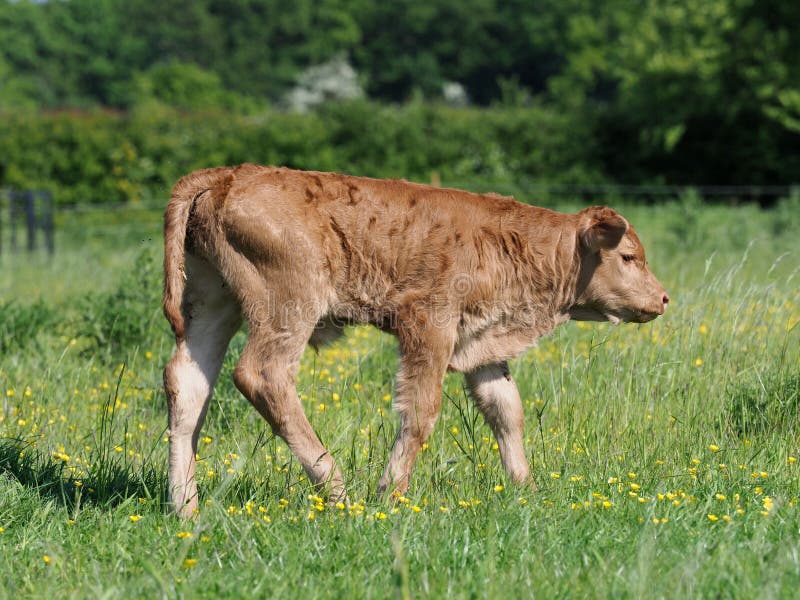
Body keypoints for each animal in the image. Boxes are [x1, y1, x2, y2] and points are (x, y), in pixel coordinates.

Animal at [162, 164, 669, 516]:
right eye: (628, 256)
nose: (663, 298)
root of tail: (228, 174)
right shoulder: (429, 325)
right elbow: (421, 412)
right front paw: (391, 494)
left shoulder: (481, 344)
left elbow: (506, 411)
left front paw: (524, 488)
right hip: (288, 305)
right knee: (263, 377)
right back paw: (336, 488)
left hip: (214, 303)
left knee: (187, 383)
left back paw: (185, 507)